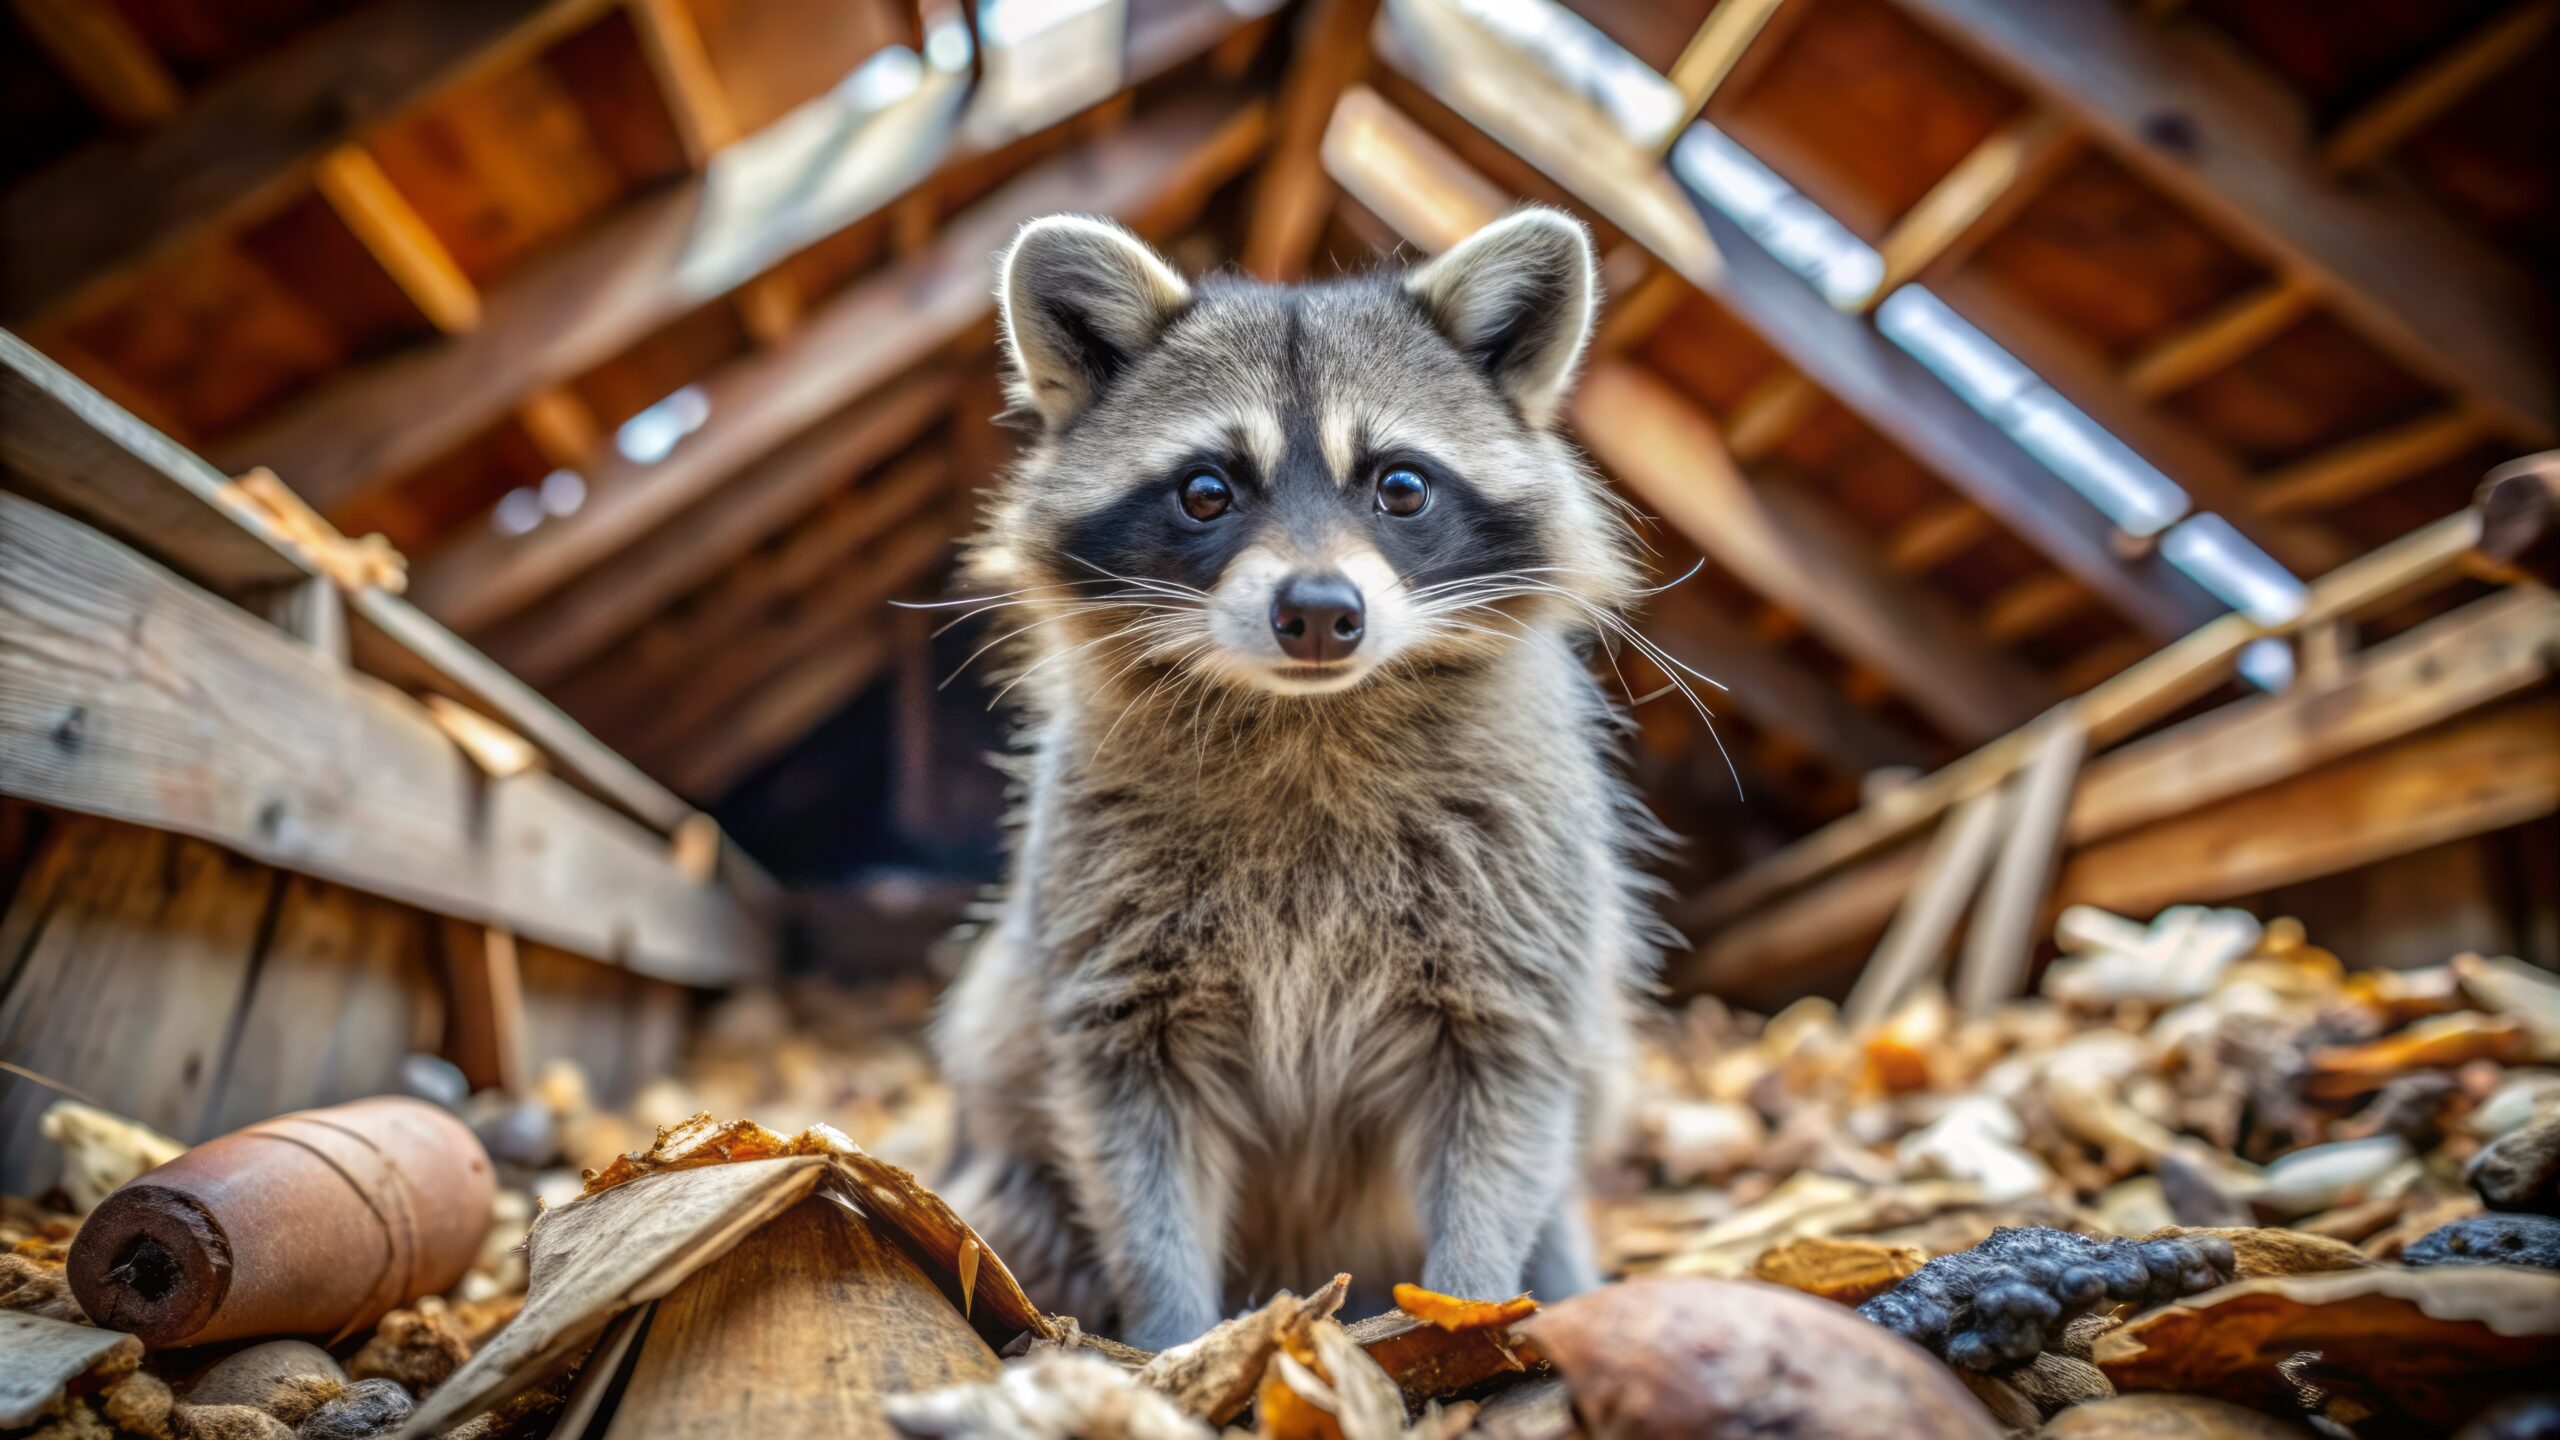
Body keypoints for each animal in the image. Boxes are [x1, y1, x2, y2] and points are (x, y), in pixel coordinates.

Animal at [933, 206, 1672, 1351]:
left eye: (1400, 485)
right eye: (1206, 491)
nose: (1321, 612)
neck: (1309, 715)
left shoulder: (1515, 920)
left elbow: (1504, 1111)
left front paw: (1469, 1310)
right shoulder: (1109, 952)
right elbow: (1132, 1135)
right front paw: (1170, 1336)